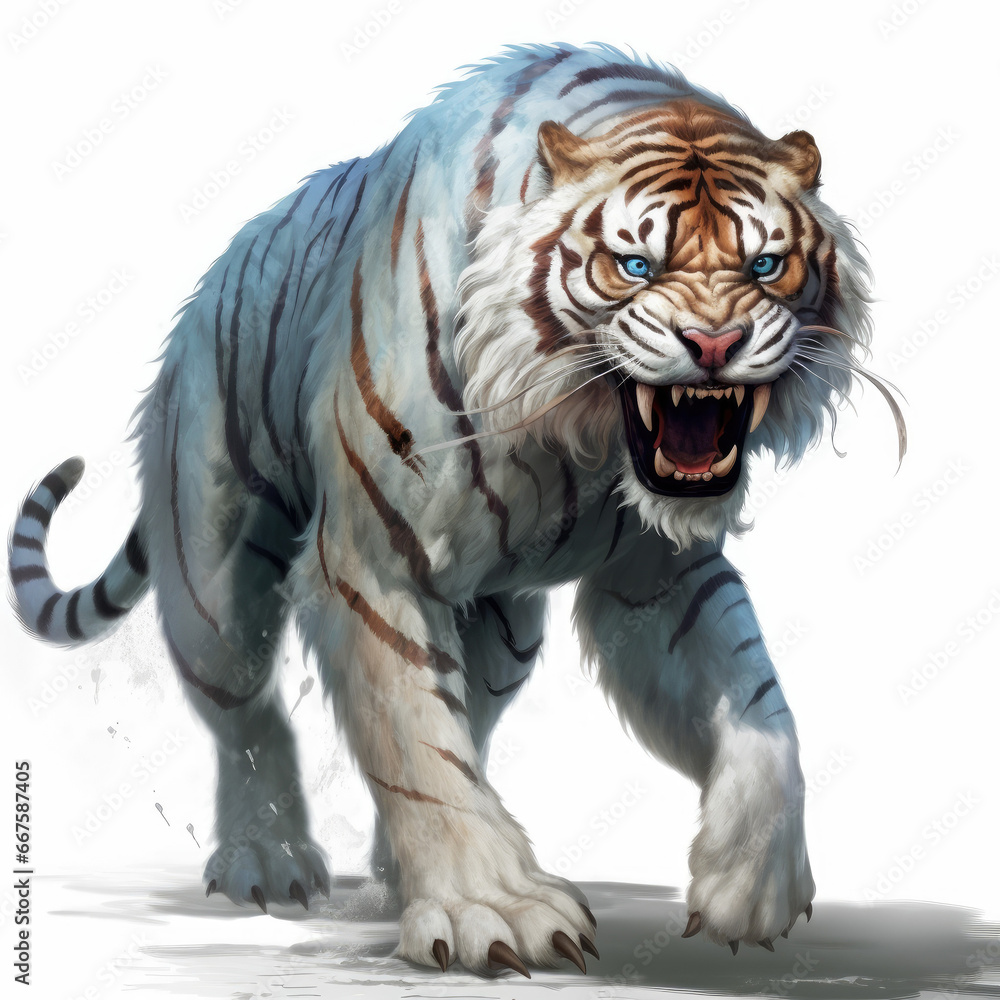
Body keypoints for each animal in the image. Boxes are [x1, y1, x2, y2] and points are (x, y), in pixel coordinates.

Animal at [8, 43, 897, 977]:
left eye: (765, 265)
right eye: (635, 265)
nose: (716, 346)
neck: (576, 444)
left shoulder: (656, 580)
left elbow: (760, 710)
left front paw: (752, 888)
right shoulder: (372, 564)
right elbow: (416, 741)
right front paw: (493, 910)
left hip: (506, 631)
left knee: (472, 702)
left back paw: (396, 870)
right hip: (213, 581)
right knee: (248, 717)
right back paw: (267, 861)